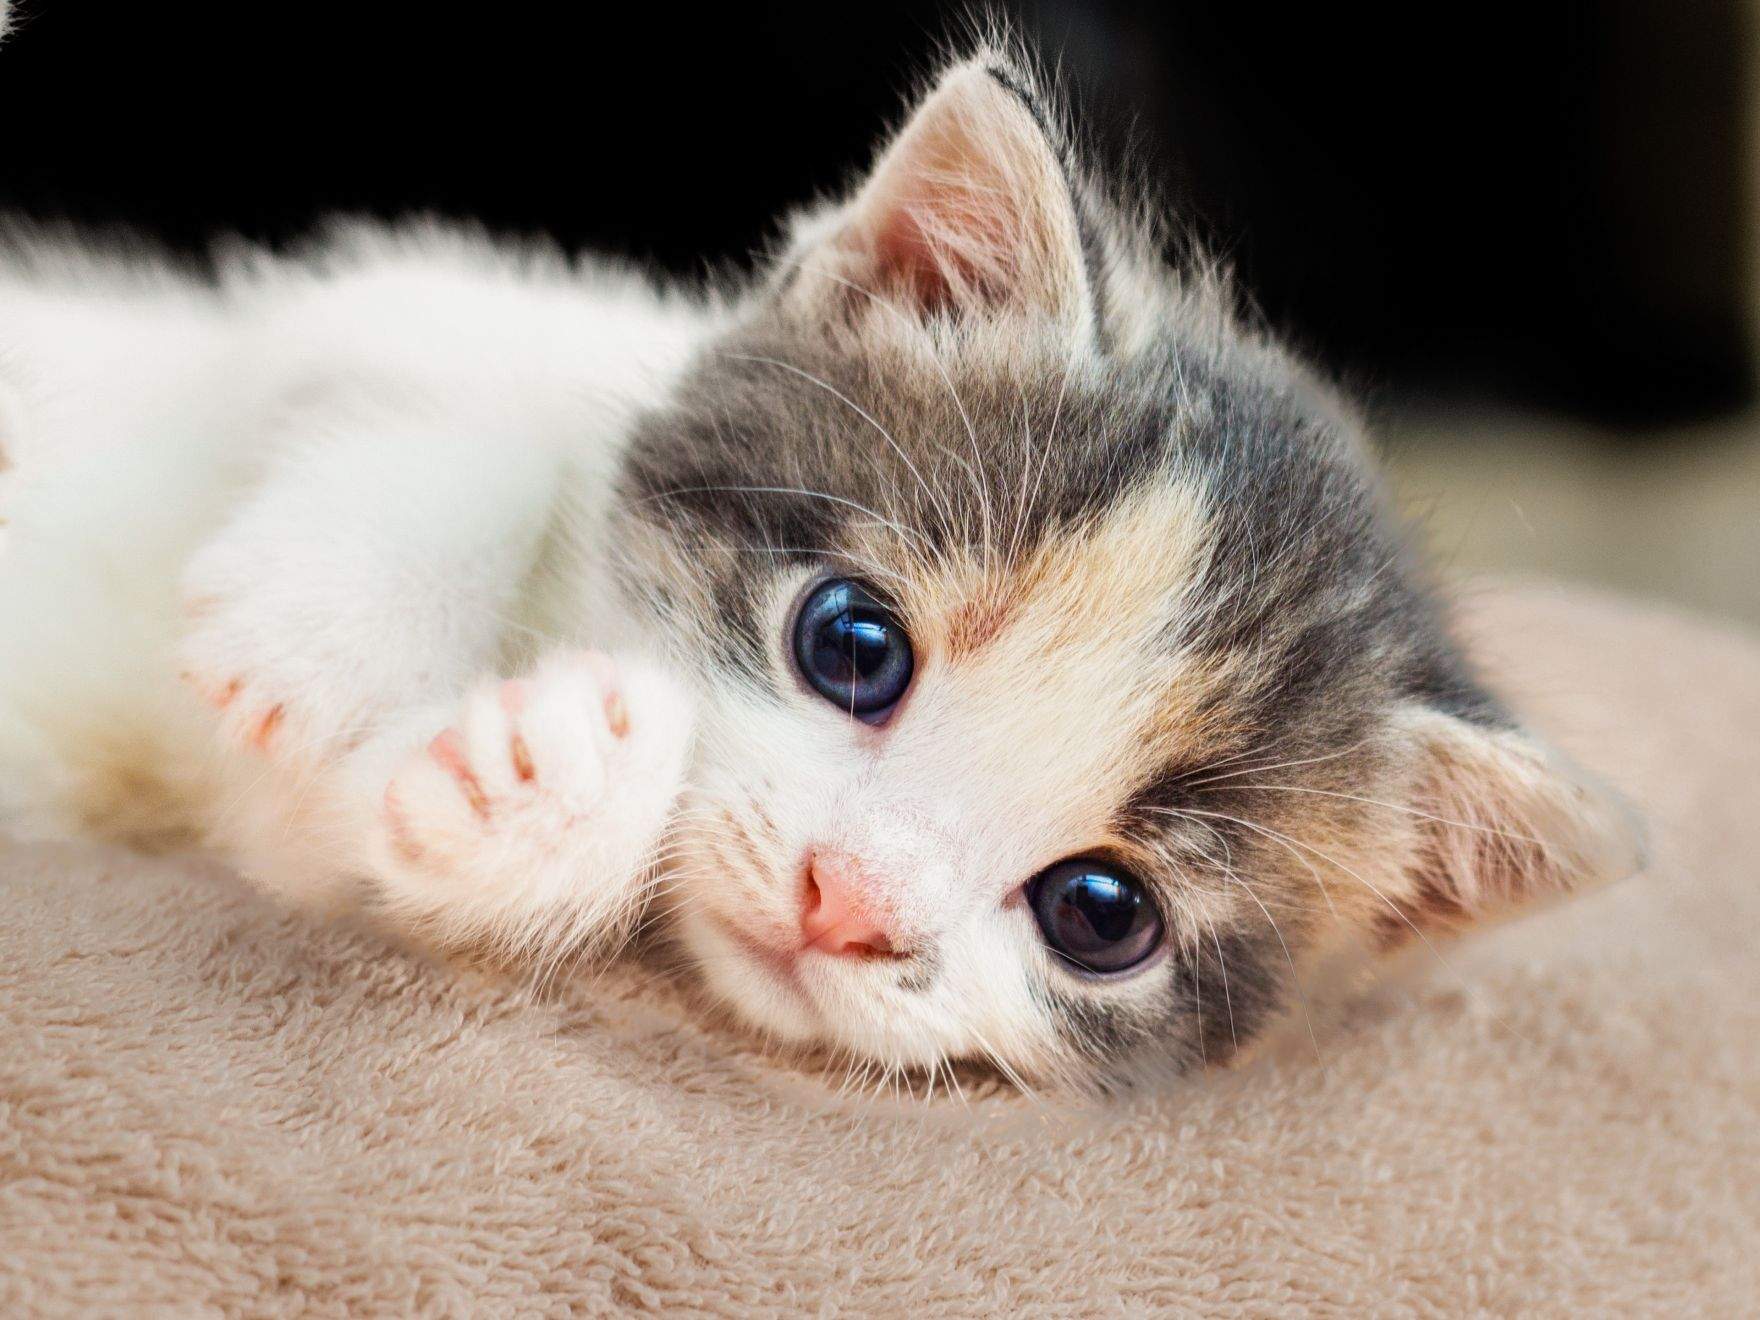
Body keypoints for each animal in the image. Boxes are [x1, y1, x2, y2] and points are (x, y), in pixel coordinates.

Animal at [0, 41, 1633, 1098]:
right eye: (851, 644)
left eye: (1101, 916)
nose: (843, 898)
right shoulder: (392, 305)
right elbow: (458, 388)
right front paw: (315, 637)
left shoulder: (262, 836)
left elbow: (332, 837)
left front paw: (540, 794)